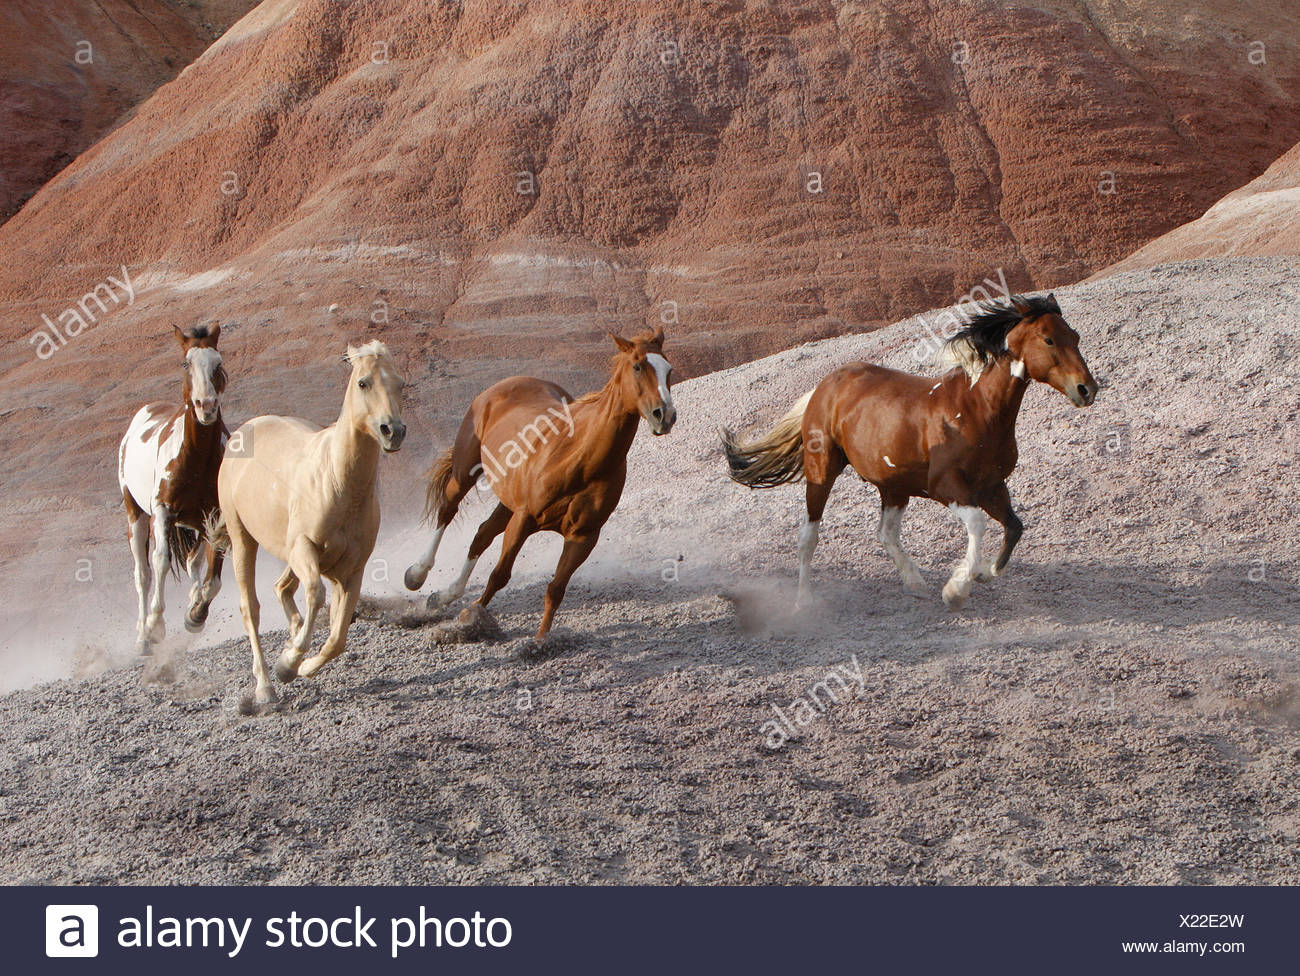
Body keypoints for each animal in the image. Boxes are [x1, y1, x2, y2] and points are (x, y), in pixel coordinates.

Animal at [118, 323, 228, 655]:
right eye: (185, 363)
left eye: (218, 362)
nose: (206, 406)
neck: (194, 461)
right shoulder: (163, 513)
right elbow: (161, 562)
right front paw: (155, 626)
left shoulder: (215, 518)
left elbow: (213, 577)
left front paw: (195, 614)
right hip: (136, 515)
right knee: (143, 574)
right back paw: (143, 636)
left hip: (193, 525)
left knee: (193, 562)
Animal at [213, 341, 406, 707]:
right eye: (364, 382)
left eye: (400, 383)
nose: (393, 431)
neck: (339, 484)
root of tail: (245, 430)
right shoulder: (305, 549)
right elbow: (315, 595)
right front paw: (287, 664)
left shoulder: (352, 570)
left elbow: (338, 638)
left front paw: (300, 665)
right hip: (243, 539)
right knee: (251, 608)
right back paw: (265, 687)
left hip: (289, 553)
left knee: (281, 588)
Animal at [403, 327, 676, 638]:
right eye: (638, 366)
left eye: (669, 369)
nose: (665, 415)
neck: (580, 459)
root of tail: (507, 383)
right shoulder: (524, 519)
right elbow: (500, 575)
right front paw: (471, 616)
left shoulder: (583, 536)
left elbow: (556, 590)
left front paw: (540, 640)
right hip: (465, 473)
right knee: (447, 511)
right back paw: (417, 574)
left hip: (507, 500)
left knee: (482, 533)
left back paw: (445, 595)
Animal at [722, 294, 1098, 610]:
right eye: (1048, 339)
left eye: (1075, 336)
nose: (1087, 389)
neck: (975, 409)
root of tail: (825, 385)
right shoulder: (946, 487)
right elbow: (977, 524)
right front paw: (956, 589)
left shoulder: (991, 486)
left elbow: (1014, 527)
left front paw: (983, 573)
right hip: (822, 470)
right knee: (808, 537)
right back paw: (804, 601)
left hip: (894, 485)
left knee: (886, 534)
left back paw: (914, 581)